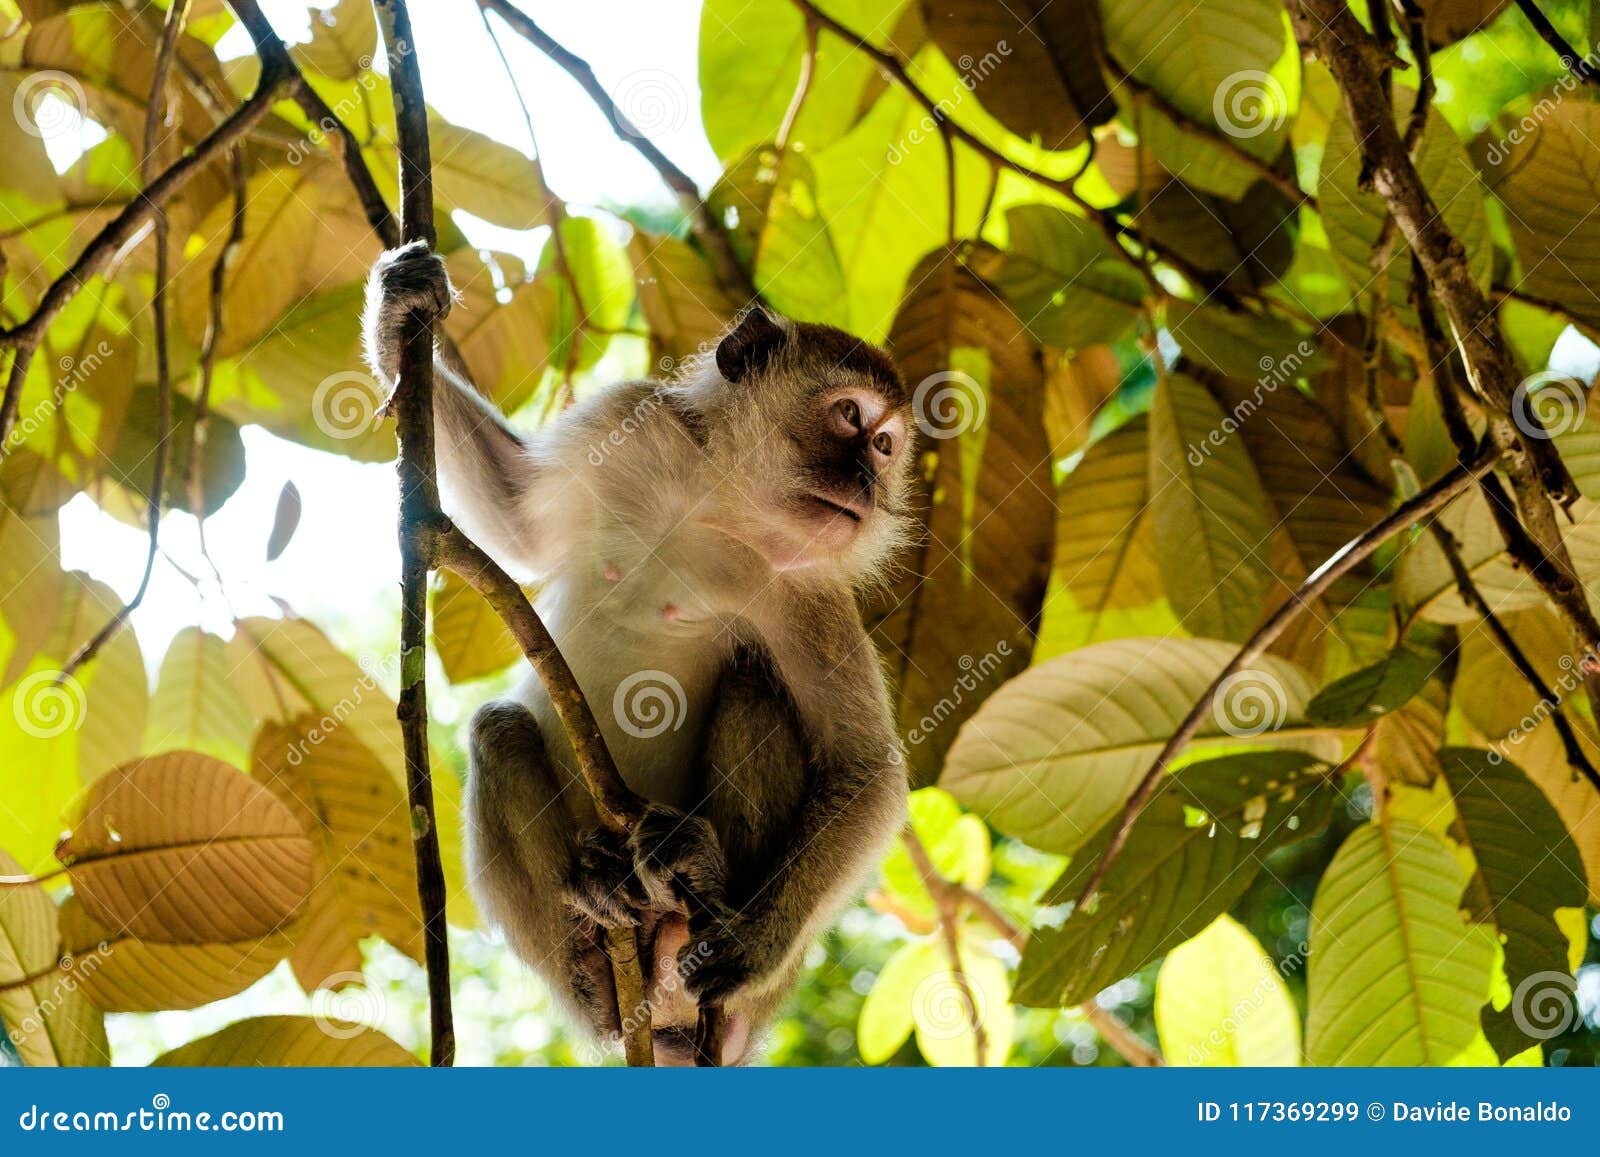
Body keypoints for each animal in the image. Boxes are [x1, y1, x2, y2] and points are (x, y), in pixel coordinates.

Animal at [363, 240, 914, 1064]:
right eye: (849, 417)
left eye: (883, 447)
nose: (867, 484)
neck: (717, 502)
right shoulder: (623, 424)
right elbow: (514, 513)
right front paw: (399, 315)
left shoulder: (808, 590)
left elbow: (865, 764)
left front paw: (753, 941)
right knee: (499, 729)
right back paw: (593, 941)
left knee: (756, 682)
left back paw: (690, 895)